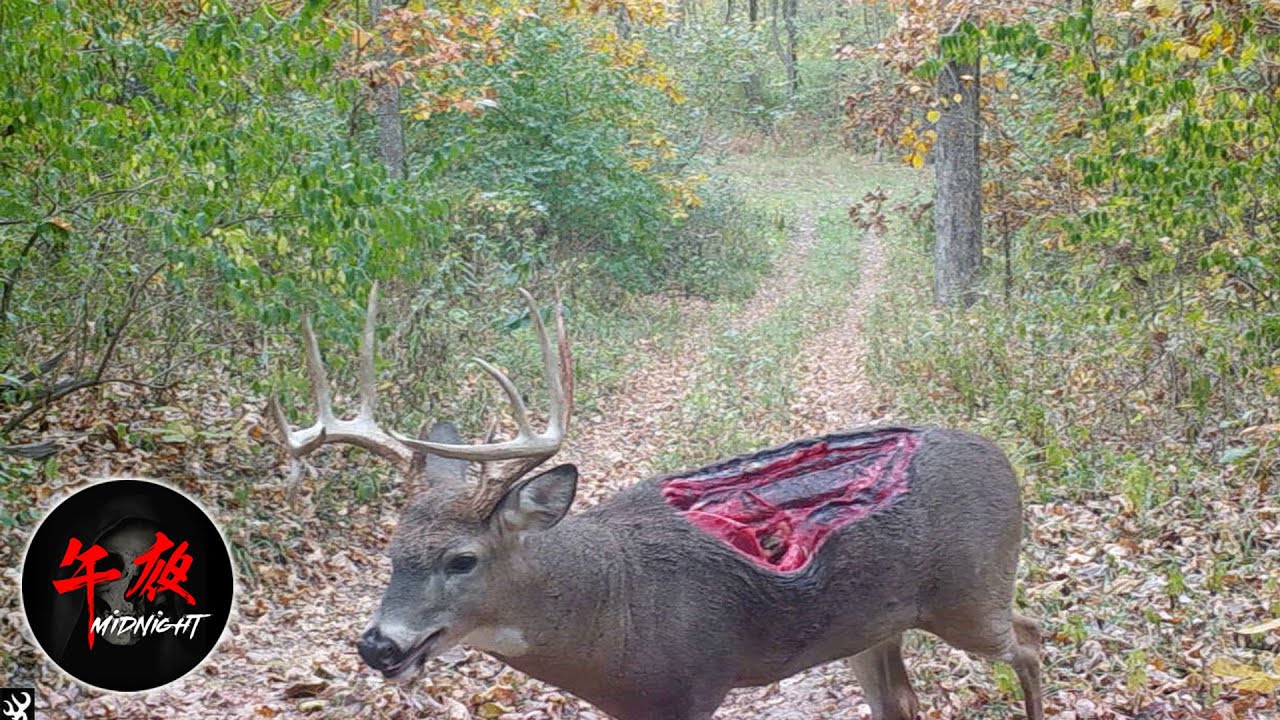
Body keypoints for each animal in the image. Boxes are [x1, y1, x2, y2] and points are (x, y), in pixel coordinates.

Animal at [270, 285, 1039, 717]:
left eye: (462, 560)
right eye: (391, 553)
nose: (377, 644)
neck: (610, 611)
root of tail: (1004, 457)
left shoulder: (690, 687)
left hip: (971, 594)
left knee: (1030, 637)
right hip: (872, 627)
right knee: (901, 701)